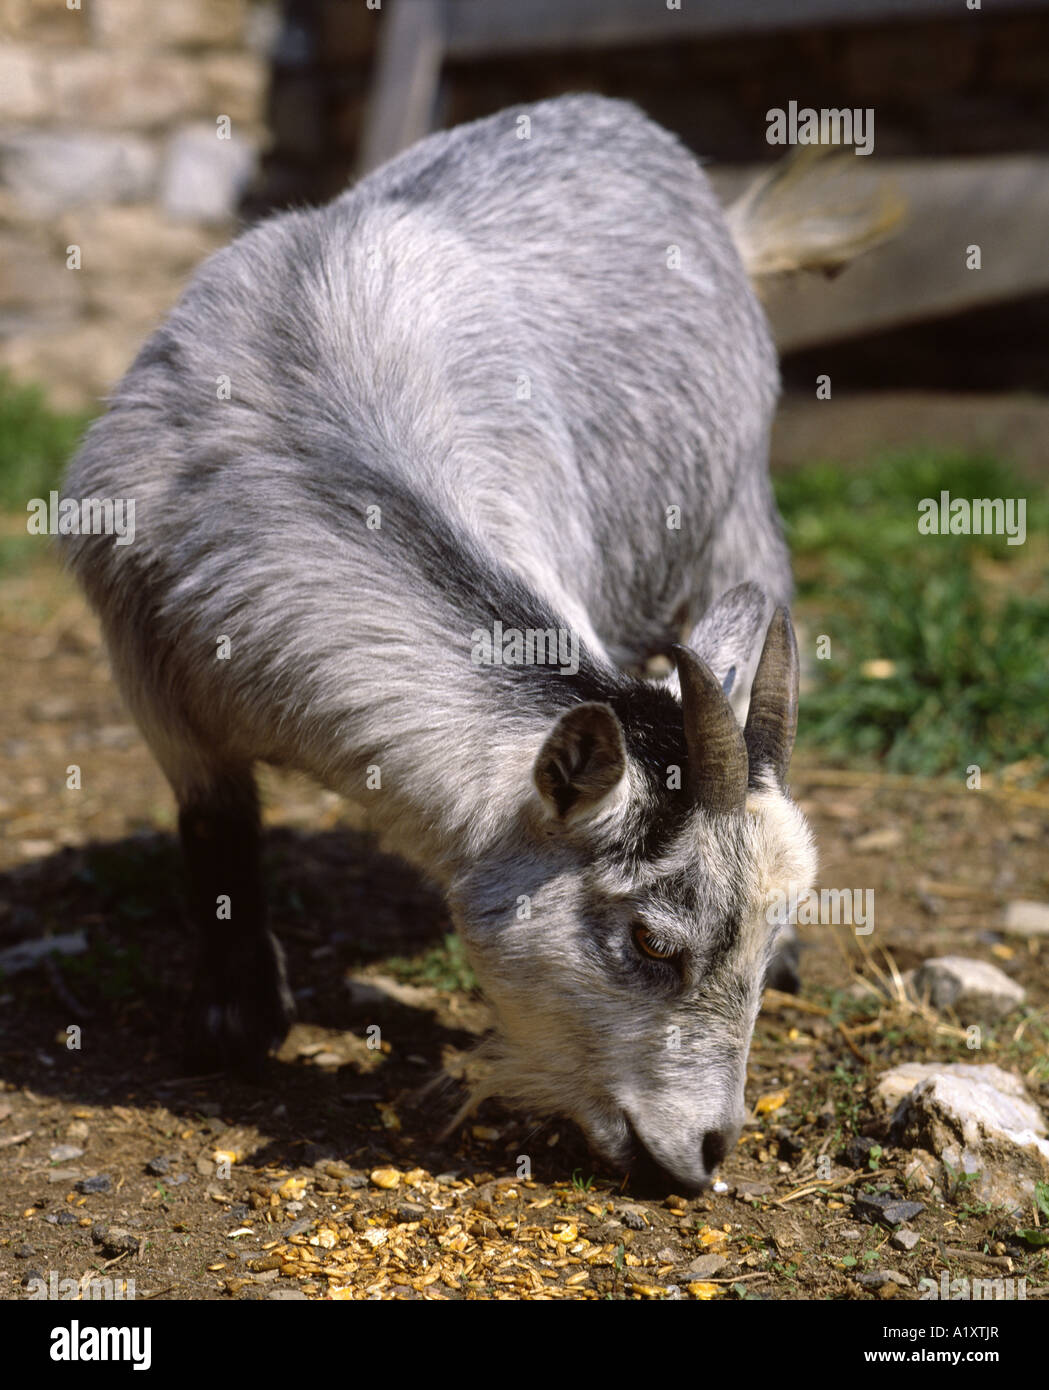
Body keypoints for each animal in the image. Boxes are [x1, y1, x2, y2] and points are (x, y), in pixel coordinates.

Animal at [62, 95, 894, 1191]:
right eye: (651, 941)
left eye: (760, 934)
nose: (704, 1152)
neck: (280, 449)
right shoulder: (153, 680)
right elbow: (214, 827)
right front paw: (231, 1026)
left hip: (733, 515)